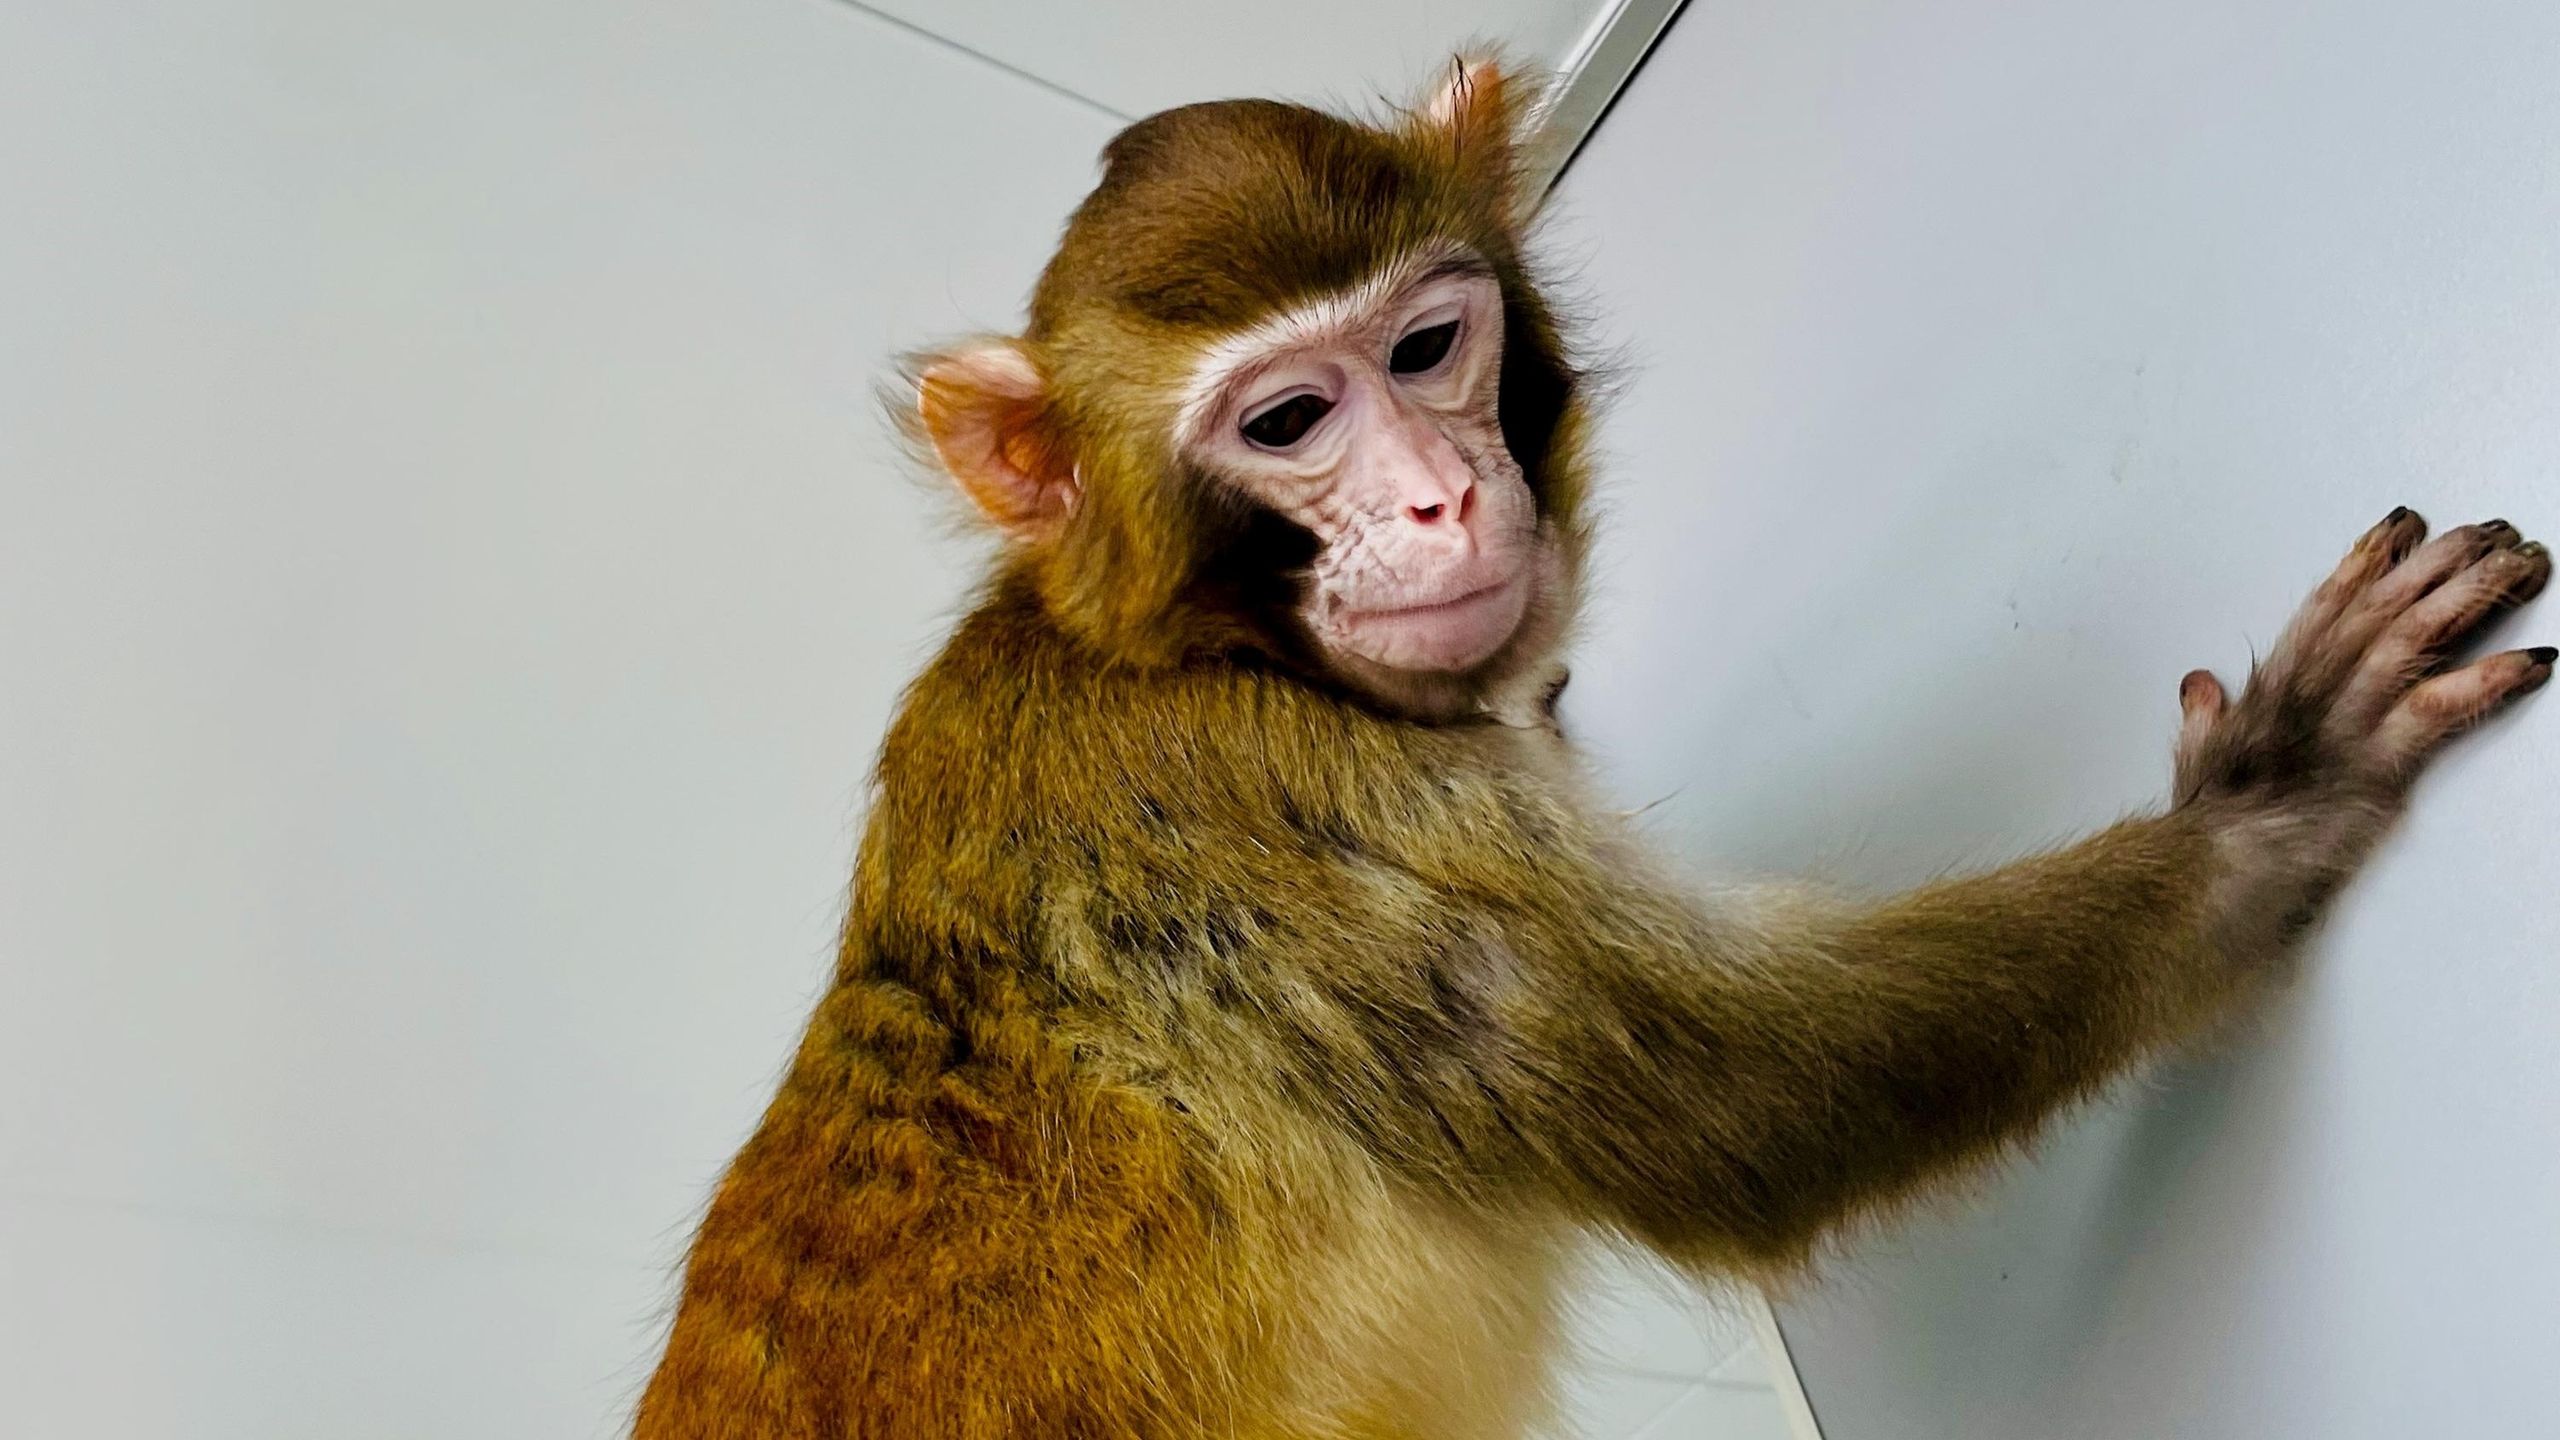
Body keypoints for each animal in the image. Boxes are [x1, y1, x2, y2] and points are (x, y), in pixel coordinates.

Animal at [629, 59, 2553, 1440]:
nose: (1437, 492)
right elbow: (1753, 1103)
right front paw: (2274, 799)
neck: (1180, 647)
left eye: (1427, 345)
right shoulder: (1258, 801)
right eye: (1291, 419)